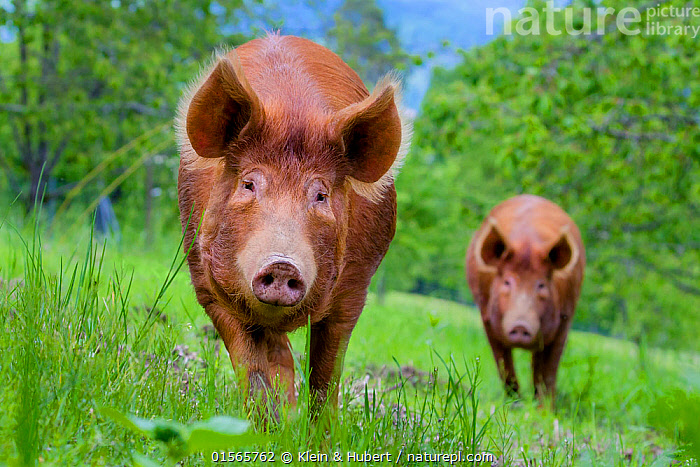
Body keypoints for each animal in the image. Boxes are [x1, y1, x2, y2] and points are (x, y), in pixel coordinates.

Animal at [176, 34, 409, 410]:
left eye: (321, 195)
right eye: (249, 184)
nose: (282, 264)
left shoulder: (353, 292)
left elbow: (325, 378)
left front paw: (317, 427)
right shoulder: (206, 284)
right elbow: (251, 368)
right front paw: (264, 421)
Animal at [465, 195, 585, 401]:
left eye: (541, 285)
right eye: (507, 282)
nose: (521, 326)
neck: (527, 243)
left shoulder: (565, 319)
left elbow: (549, 373)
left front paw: (544, 407)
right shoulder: (486, 317)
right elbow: (504, 366)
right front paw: (515, 401)